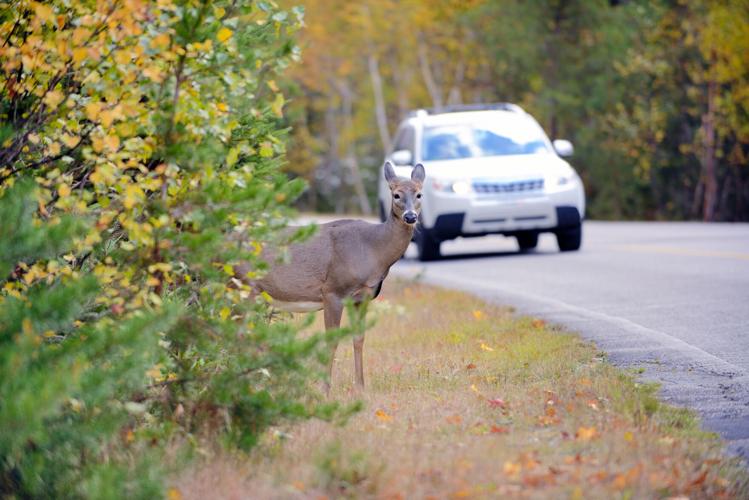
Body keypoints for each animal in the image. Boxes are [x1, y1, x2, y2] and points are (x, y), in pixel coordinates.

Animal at [254, 161, 425, 391]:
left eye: (419, 194)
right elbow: (331, 341)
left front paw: (360, 387)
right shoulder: (333, 291)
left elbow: (359, 338)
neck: (373, 249)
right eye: (396, 194)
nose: (410, 217)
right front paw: (325, 389)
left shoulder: (363, 297)